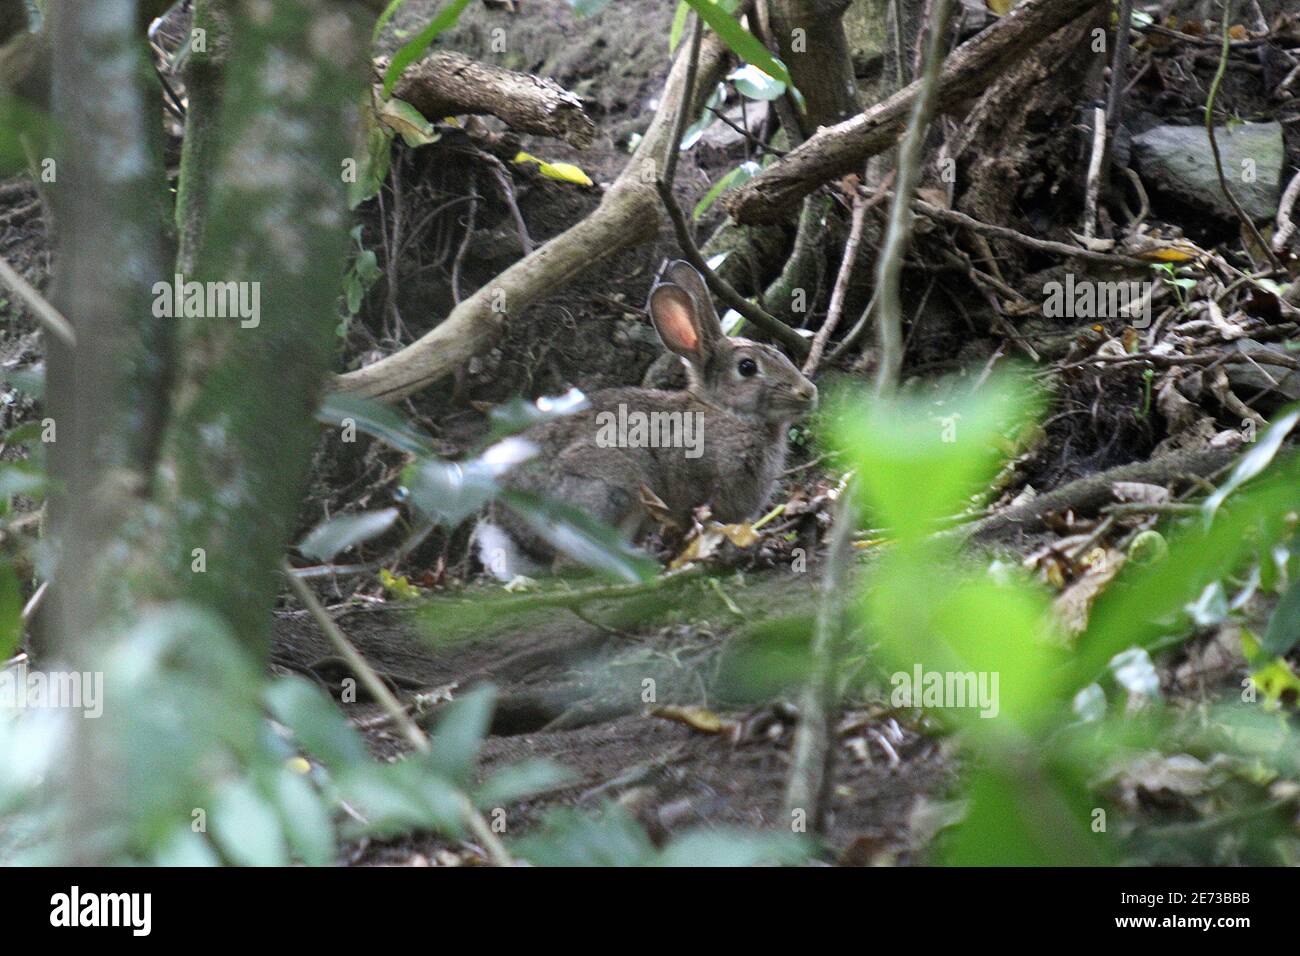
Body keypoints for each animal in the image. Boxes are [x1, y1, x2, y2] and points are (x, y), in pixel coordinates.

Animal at [475, 260, 818, 581]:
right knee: (569, 563)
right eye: (747, 367)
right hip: (609, 486)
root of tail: (513, 538)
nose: (809, 392)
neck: (726, 411)